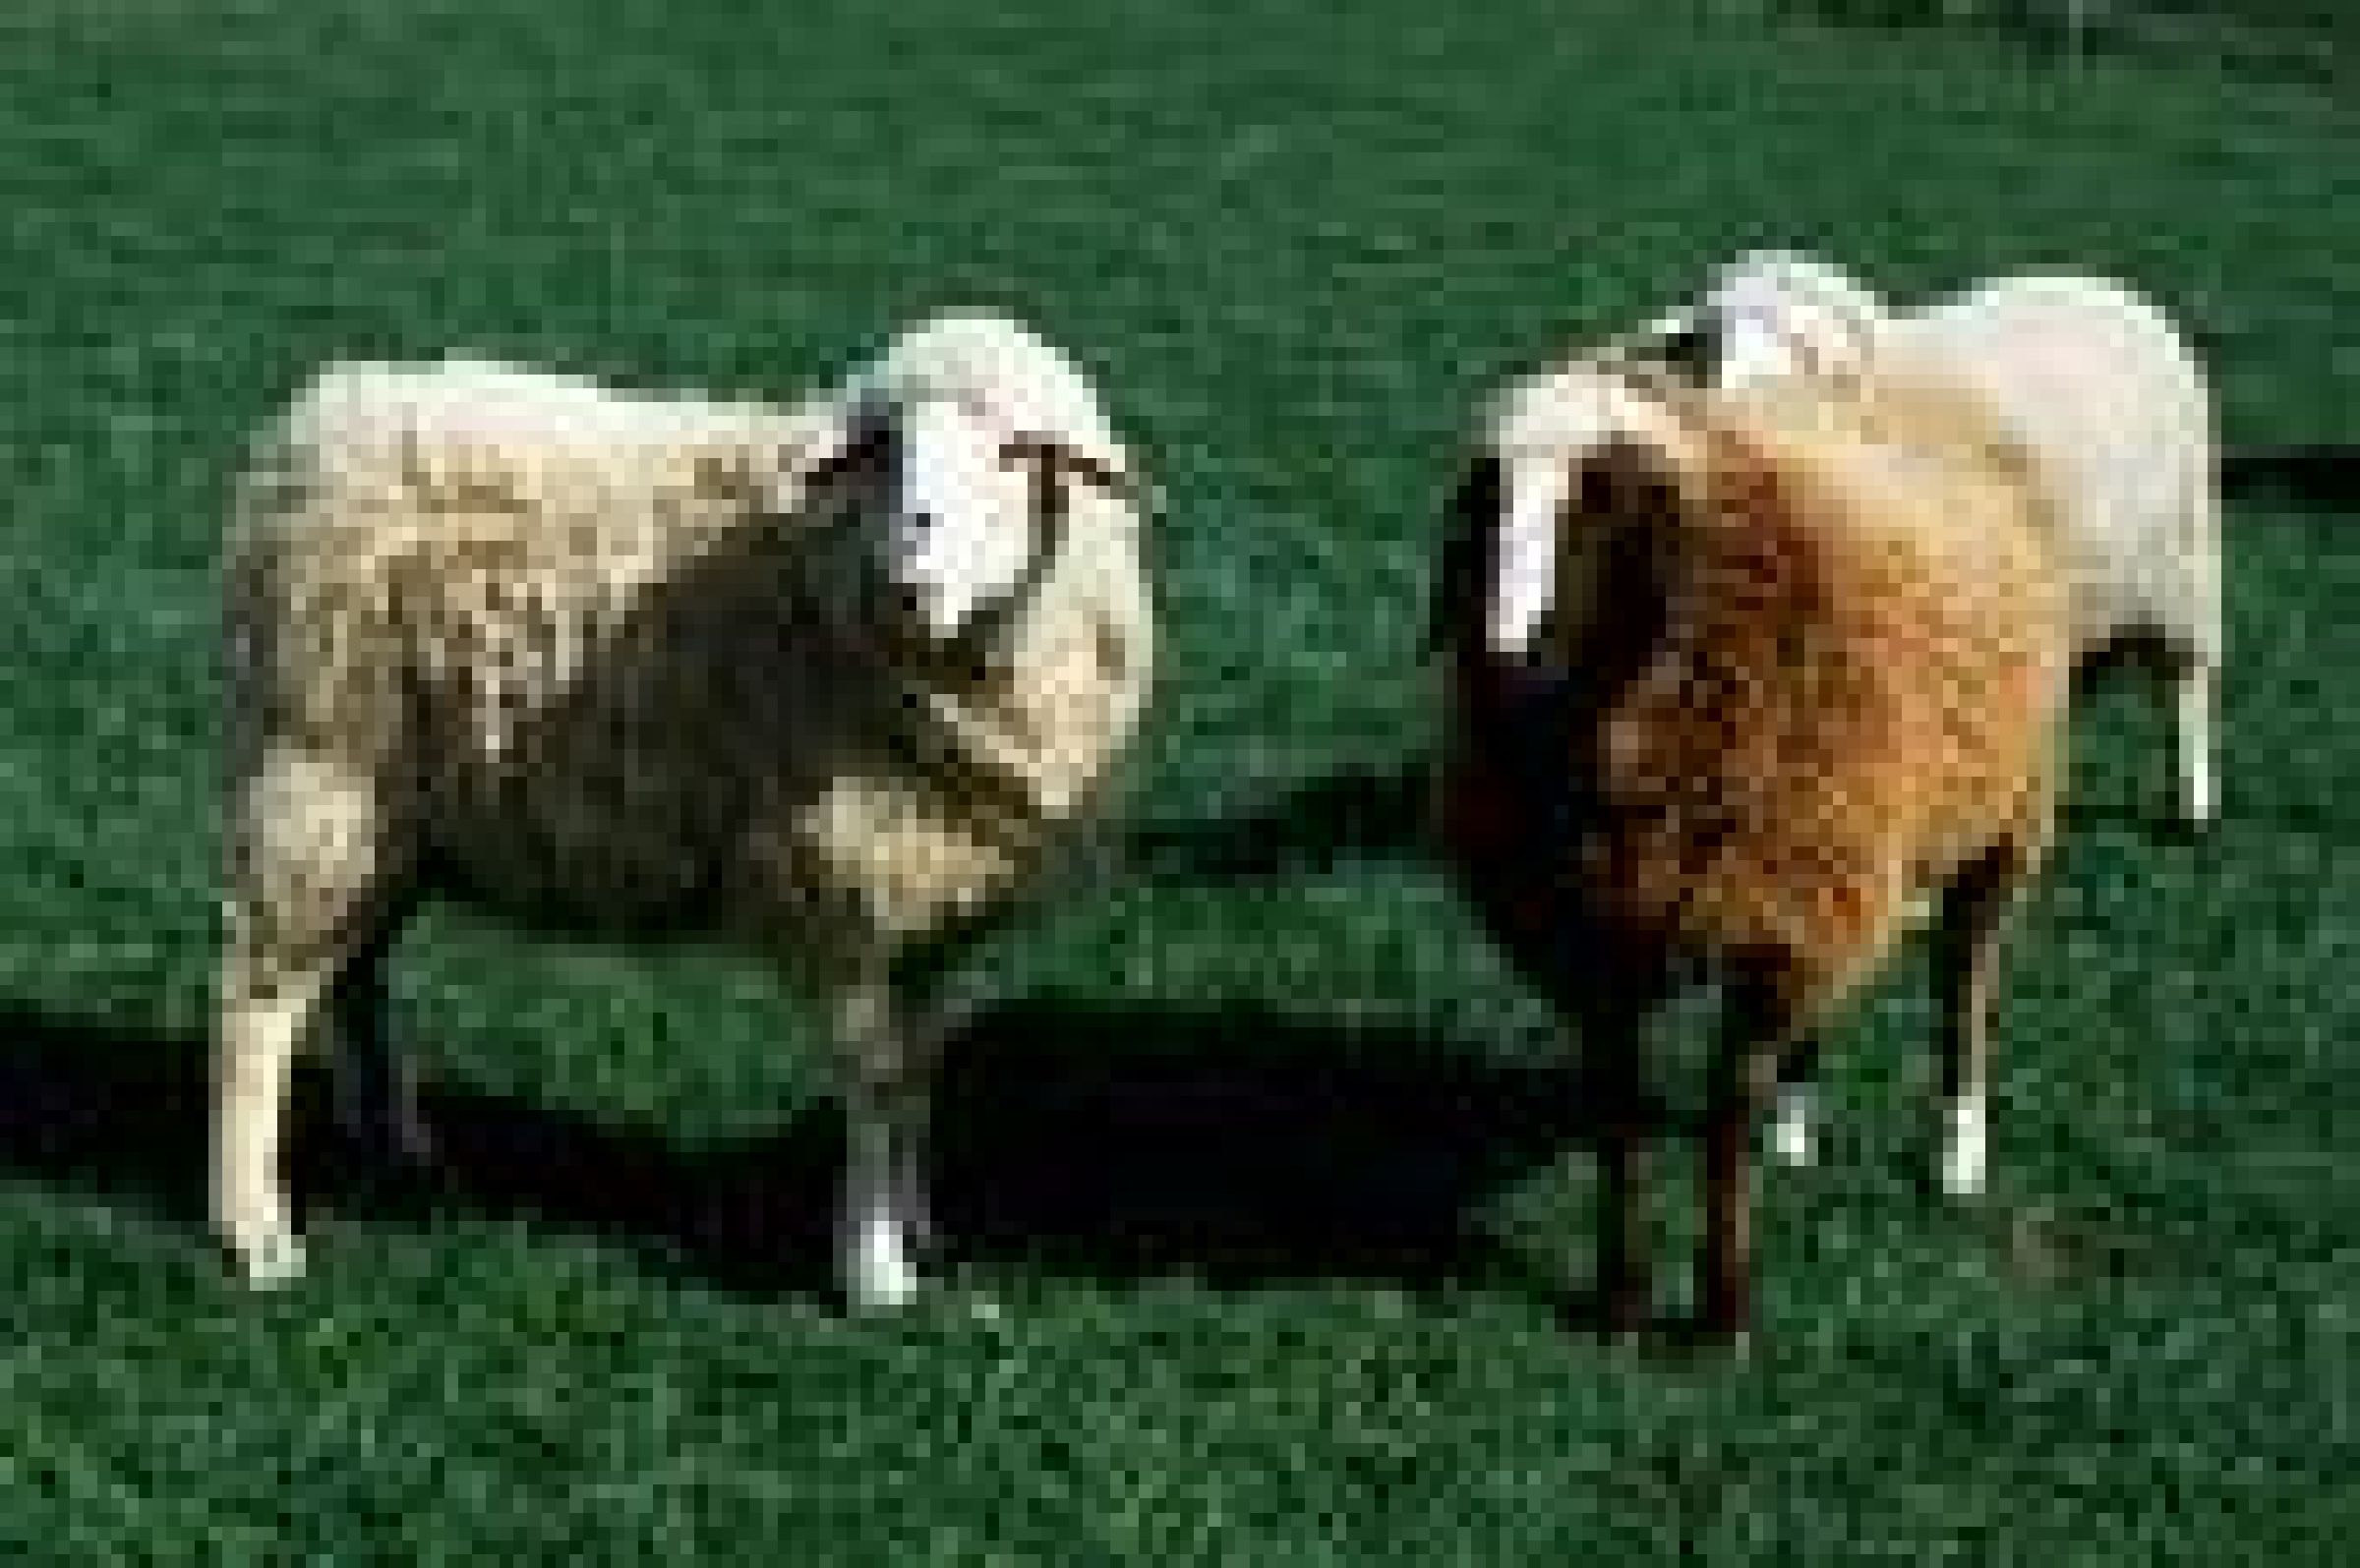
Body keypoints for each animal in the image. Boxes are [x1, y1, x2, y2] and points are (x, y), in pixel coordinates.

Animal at [216, 309, 1156, 1308]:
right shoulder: (836, 883)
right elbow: (872, 1080)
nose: (911, 560)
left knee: (355, 974)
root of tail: (319, 425)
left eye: (1018, 453)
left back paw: (395, 1144)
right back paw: (255, 1230)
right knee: (256, 1001)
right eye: (885, 449)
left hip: (390, 821)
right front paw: (873, 1269)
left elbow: (920, 1073)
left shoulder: (932, 904)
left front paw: (919, 1226)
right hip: (317, 776)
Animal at [1431, 350, 2072, 1344]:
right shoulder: (1603, 937)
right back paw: (1797, 1132)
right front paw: (1620, 1301)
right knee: (1821, 1019)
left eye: (1605, 501)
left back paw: (1956, 1156)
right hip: (1837, 878)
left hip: (2005, 822)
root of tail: (1898, 373)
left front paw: (1721, 1312)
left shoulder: (1770, 926)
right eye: (1488, 495)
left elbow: (1728, 1111)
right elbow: (1615, 1105)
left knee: (1964, 984)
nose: (1508, 663)